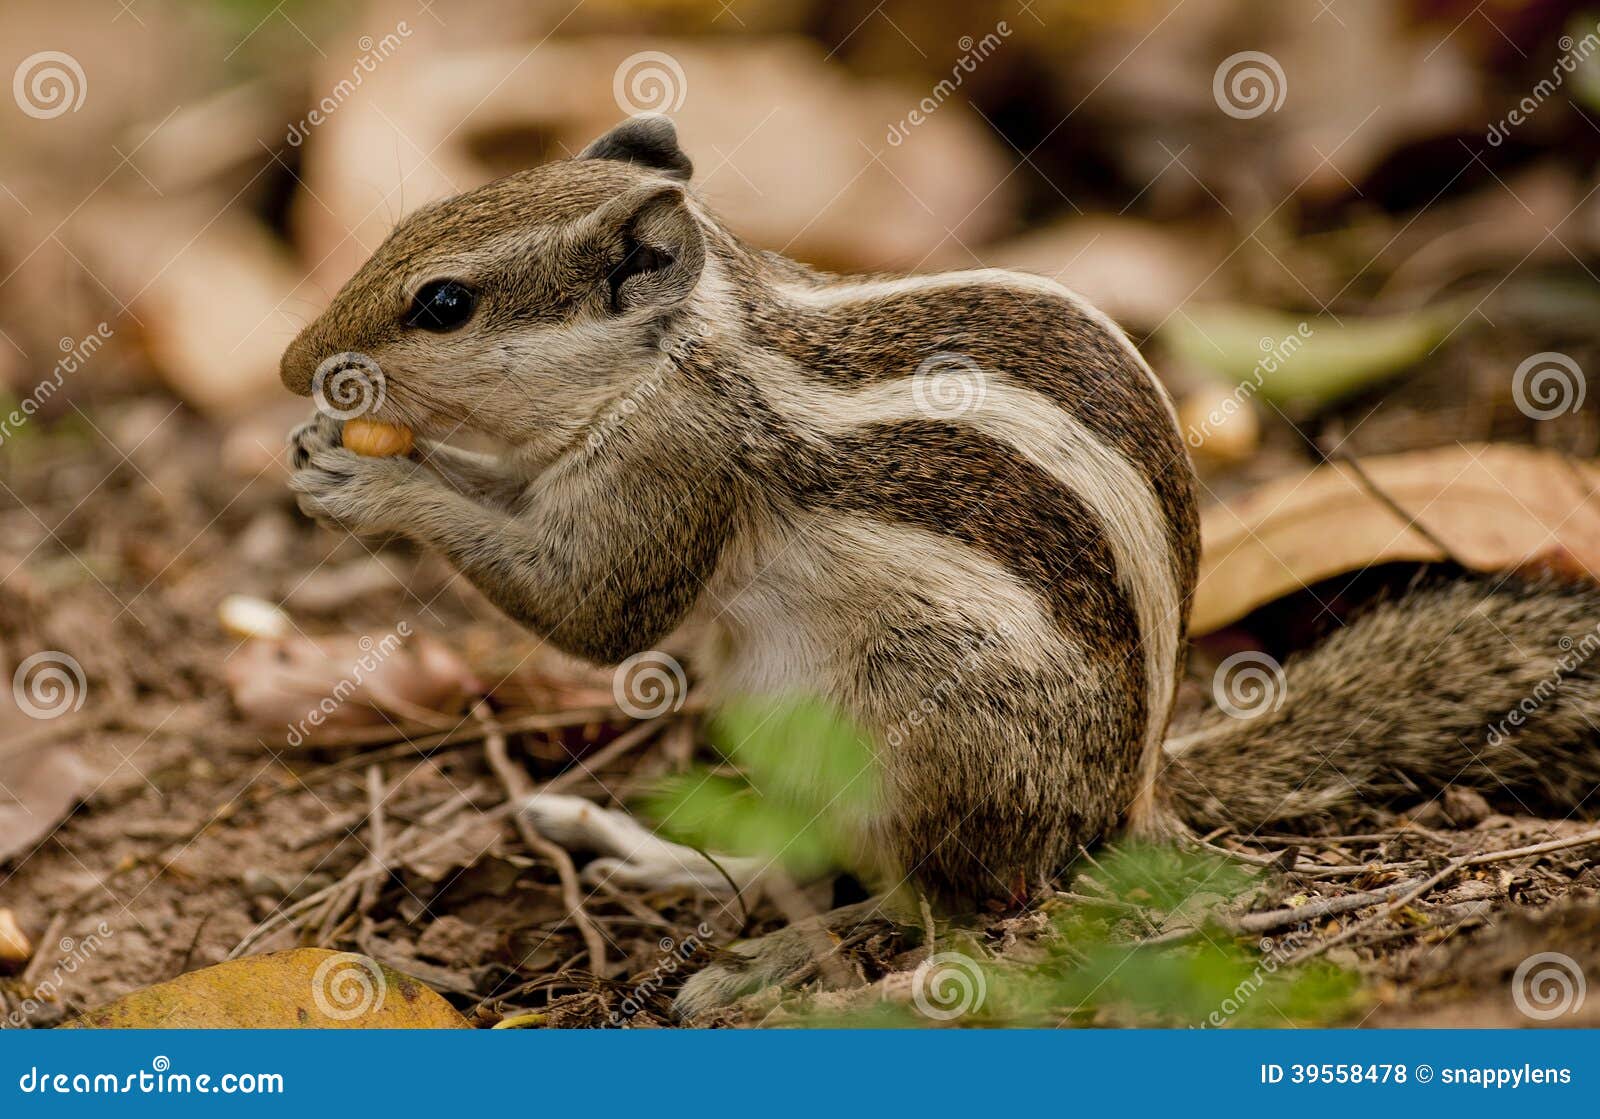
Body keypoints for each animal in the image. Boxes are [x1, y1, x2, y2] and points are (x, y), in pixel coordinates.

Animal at [281, 115, 1600, 1016]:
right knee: (811, 857)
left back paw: (777, 970)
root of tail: (1130, 800)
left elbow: (598, 608)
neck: (690, 340)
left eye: (442, 305)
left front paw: (376, 482)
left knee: (944, 914)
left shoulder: (674, 460)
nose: (297, 363)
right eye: (404, 229)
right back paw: (670, 864)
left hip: (929, 726)